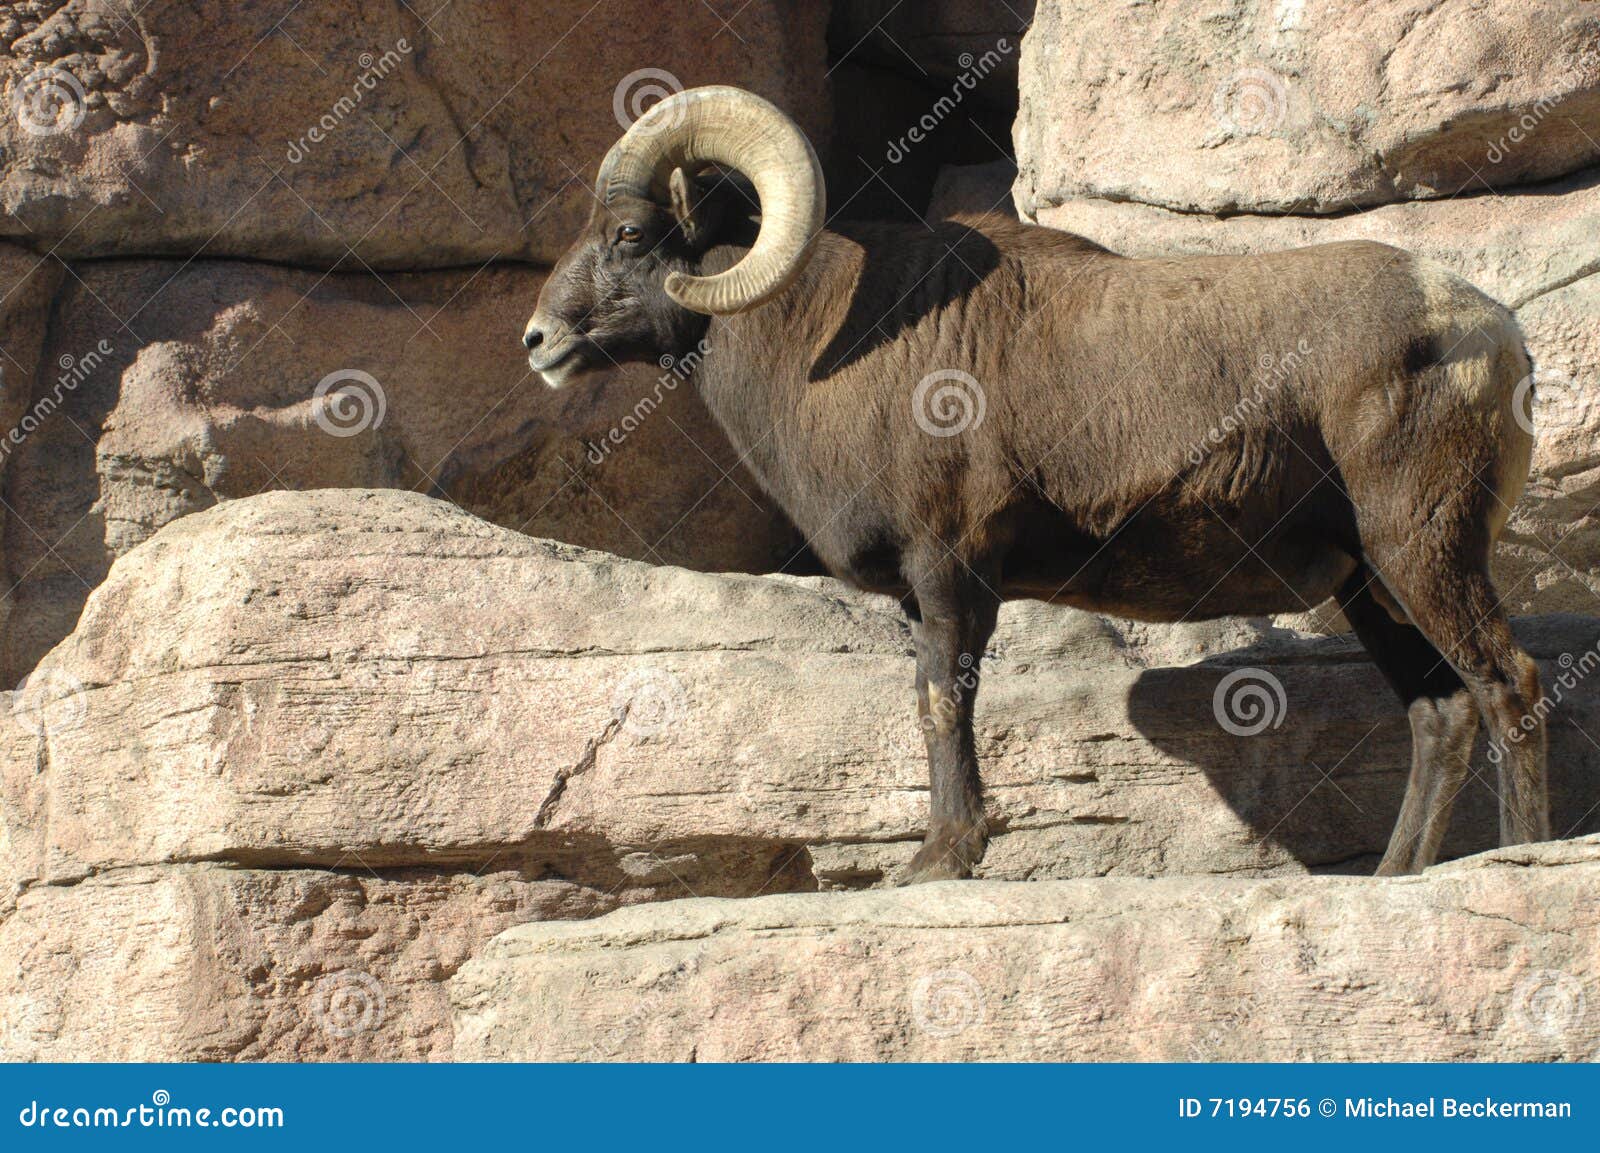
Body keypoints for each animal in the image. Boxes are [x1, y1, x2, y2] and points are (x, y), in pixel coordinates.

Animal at [522, 85, 1549, 883]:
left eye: (629, 233)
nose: (538, 342)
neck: (828, 337)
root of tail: (1491, 331)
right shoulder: (929, 591)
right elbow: (933, 702)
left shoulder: (950, 574)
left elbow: (944, 702)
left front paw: (941, 858)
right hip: (1371, 582)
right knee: (1441, 713)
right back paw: (1395, 873)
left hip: (1420, 550)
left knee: (1509, 685)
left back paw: (1518, 854)